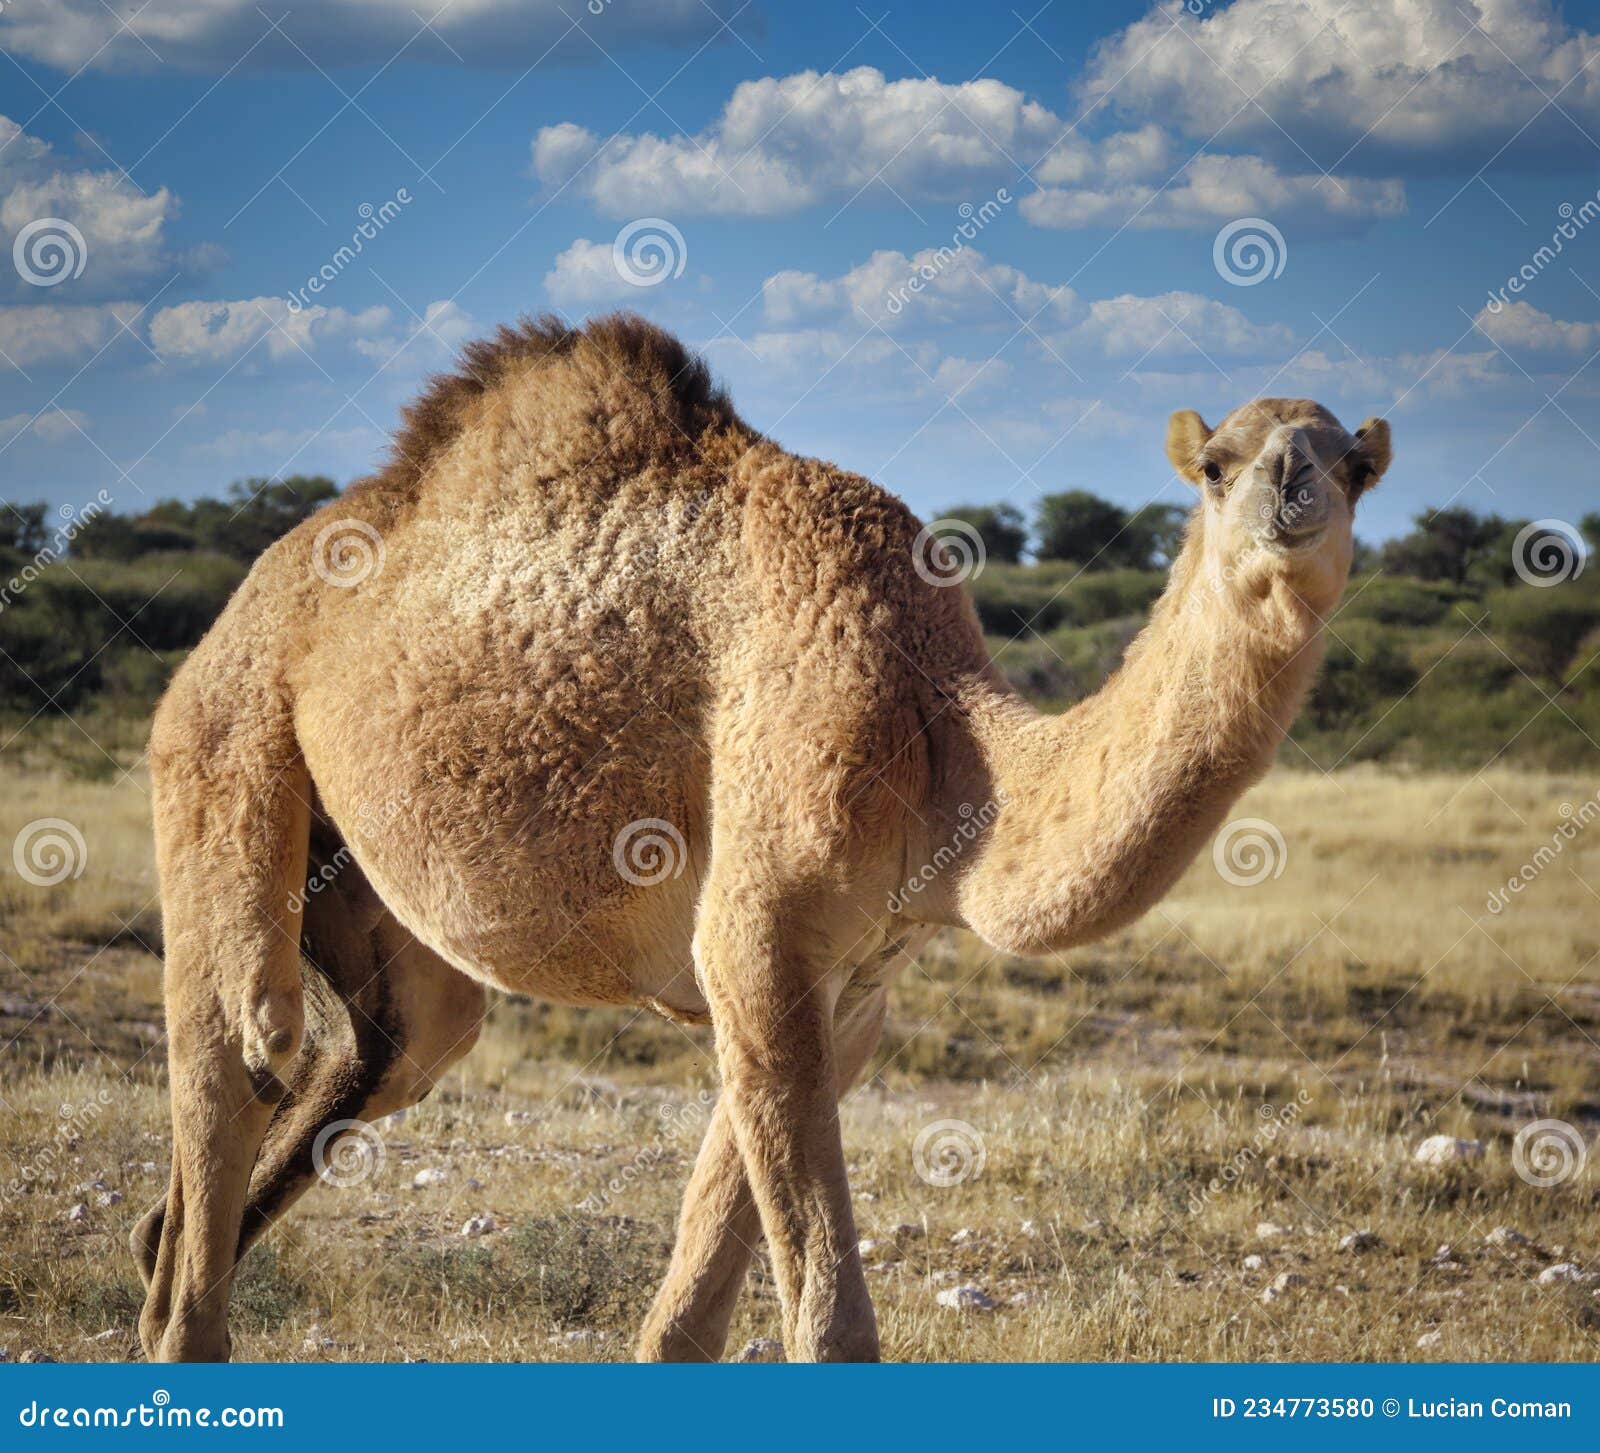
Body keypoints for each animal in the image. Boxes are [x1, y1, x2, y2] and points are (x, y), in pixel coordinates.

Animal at [131, 313, 1390, 1363]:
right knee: (232, 1052)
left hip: (378, 902)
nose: (1291, 487)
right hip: (223, 744)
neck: (945, 743)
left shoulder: (852, 987)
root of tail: (238, 608)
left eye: (1354, 465)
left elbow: (686, 1316)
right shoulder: (757, 932)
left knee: (397, 1039)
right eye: (1217, 461)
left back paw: (153, 1250)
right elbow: (830, 1329)